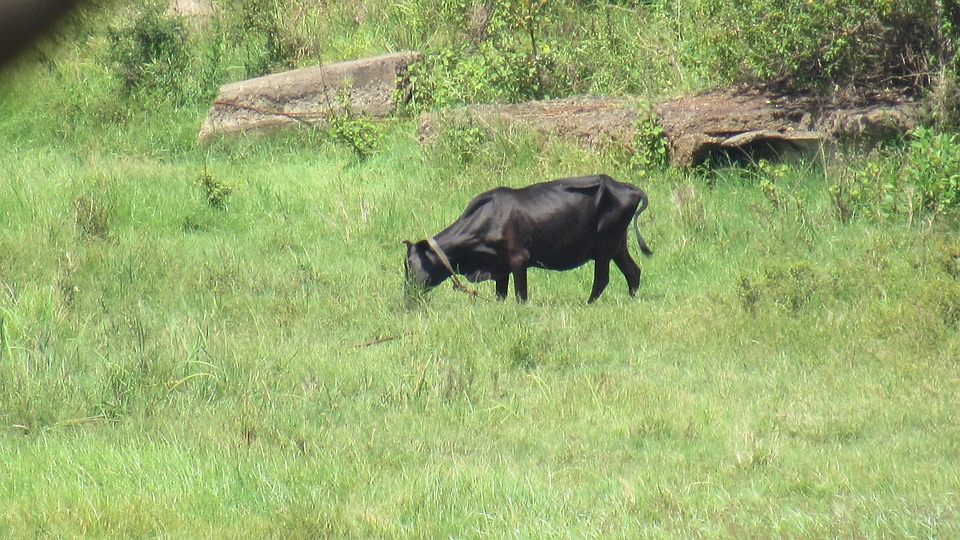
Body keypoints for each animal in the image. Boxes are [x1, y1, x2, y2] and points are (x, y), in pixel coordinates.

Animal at [404, 174, 653, 303]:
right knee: (633, 271)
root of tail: (625, 186)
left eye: (410, 265)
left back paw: (587, 304)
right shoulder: (499, 267)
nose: (408, 295)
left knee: (602, 279)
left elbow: (520, 295)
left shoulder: (518, 260)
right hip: (617, 244)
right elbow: (500, 295)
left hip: (604, 247)